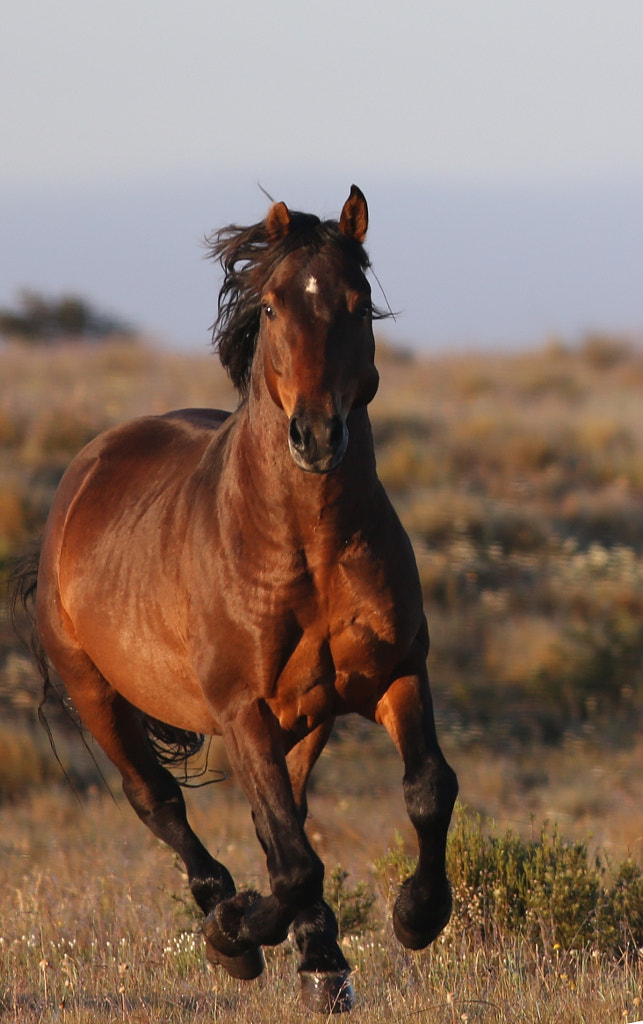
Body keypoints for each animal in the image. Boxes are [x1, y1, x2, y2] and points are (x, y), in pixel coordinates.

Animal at [14, 186, 458, 1013]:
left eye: (358, 305)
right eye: (274, 307)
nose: (316, 436)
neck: (308, 542)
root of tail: (83, 474)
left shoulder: (394, 673)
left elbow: (424, 791)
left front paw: (416, 916)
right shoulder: (240, 706)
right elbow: (291, 862)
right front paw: (236, 932)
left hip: (304, 717)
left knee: (280, 816)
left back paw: (317, 959)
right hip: (98, 695)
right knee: (159, 801)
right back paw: (236, 923)